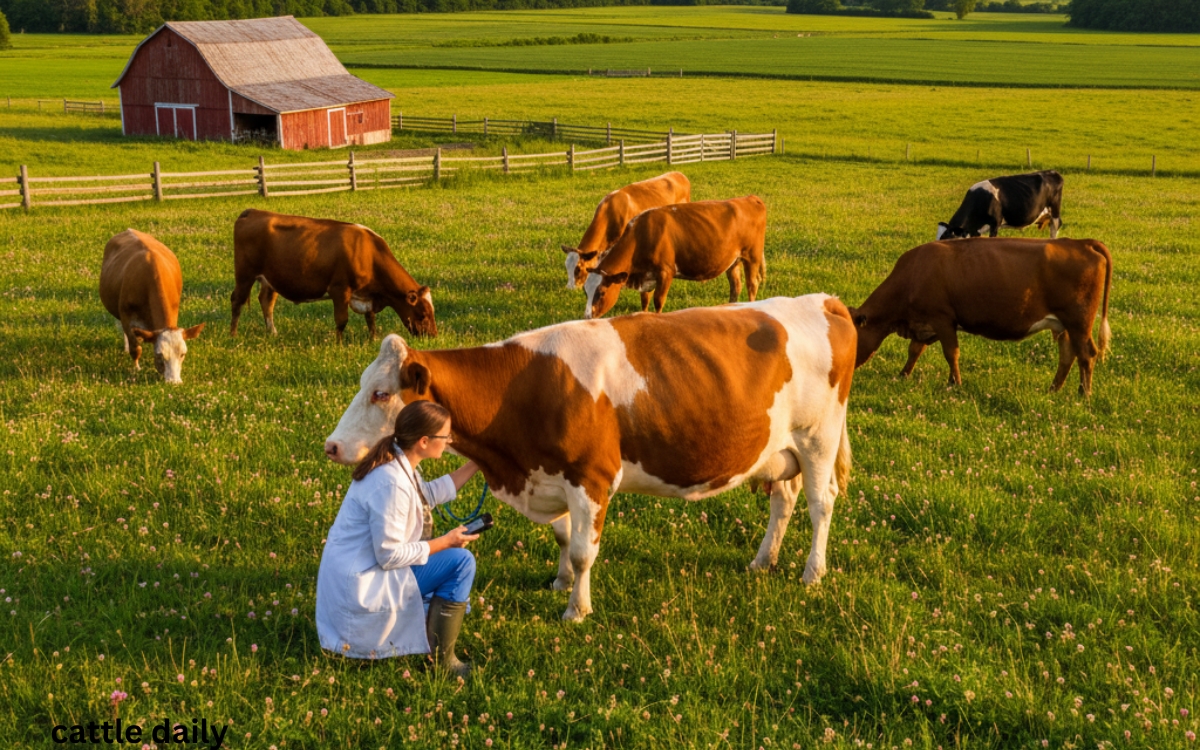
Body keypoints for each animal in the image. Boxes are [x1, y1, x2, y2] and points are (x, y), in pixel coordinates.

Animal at [99, 229, 205, 384]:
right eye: (160, 355)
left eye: (183, 354)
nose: (174, 382)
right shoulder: (127, 317)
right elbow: (135, 348)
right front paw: (136, 368)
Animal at [230, 209, 436, 343]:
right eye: (423, 314)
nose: (433, 336)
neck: (369, 253)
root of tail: (253, 211)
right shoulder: (340, 289)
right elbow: (342, 320)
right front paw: (338, 344)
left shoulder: (367, 295)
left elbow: (370, 319)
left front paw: (373, 339)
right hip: (244, 275)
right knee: (237, 300)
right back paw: (233, 335)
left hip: (271, 279)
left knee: (266, 301)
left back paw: (272, 332)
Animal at [323, 294, 855, 622]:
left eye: (380, 393)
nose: (331, 445)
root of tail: (822, 301)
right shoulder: (551, 477)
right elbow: (563, 537)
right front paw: (560, 583)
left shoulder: (591, 479)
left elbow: (583, 551)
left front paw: (576, 609)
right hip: (779, 450)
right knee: (784, 500)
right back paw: (763, 561)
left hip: (818, 439)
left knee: (820, 504)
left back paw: (813, 573)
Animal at [584, 196, 767, 320]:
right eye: (586, 292)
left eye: (601, 292)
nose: (586, 317)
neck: (641, 235)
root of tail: (750, 198)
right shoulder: (646, 275)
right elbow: (645, 300)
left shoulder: (666, 272)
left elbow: (658, 301)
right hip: (733, 261)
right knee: (736, 285)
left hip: (752, 256)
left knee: (752, 284)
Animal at [849, 238, 1112, 395]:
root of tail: (1080, 243)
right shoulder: (924, 324)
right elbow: (915, 350)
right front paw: (903, 374)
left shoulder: (943, 319)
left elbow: (951, 352)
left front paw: (955, 383)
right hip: (1064, 325)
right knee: (1067, 354)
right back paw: (1053, 389)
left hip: (1079, 322)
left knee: (1086, 354)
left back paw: (1084, 394)